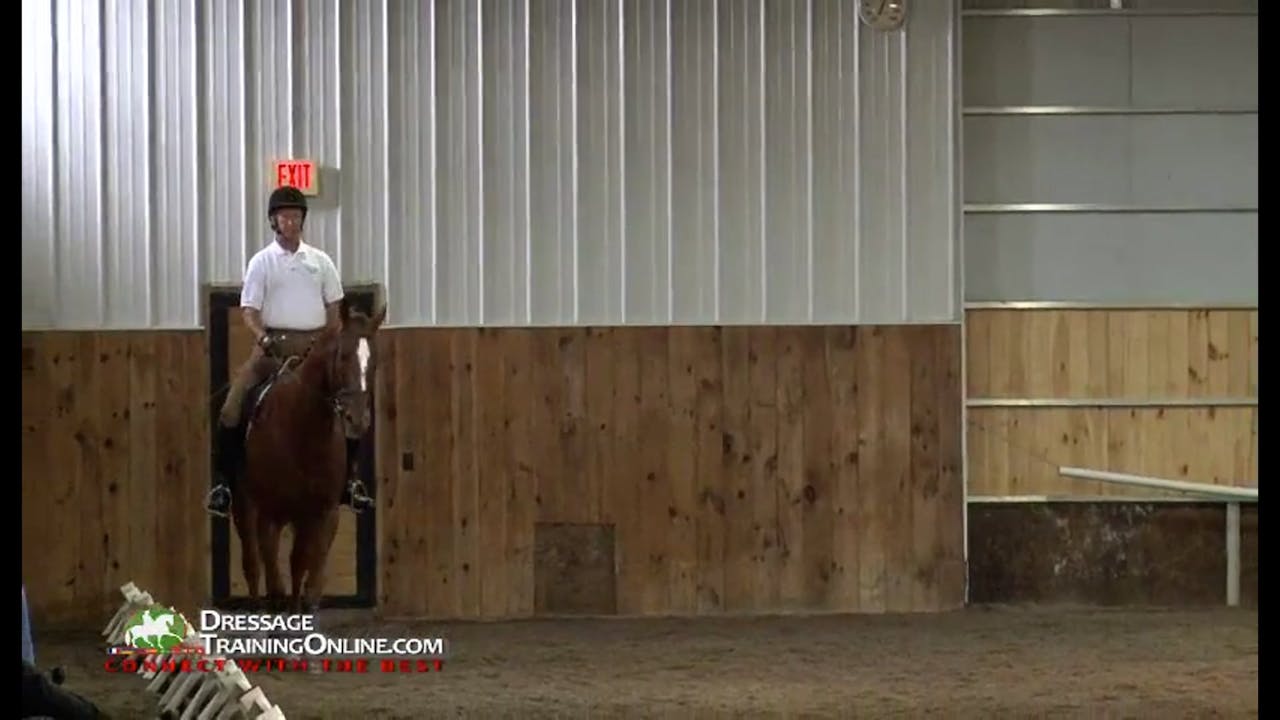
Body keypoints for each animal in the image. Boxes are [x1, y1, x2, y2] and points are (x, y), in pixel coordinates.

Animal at [230, 304, 386, 615]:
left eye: (374, 359)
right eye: (343, 355)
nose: (357, 419)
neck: (302, 429)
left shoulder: (323, 513)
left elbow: (308, 575)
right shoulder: (270, 514)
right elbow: (276, 583)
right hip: (245, 507)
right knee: (252, 564)